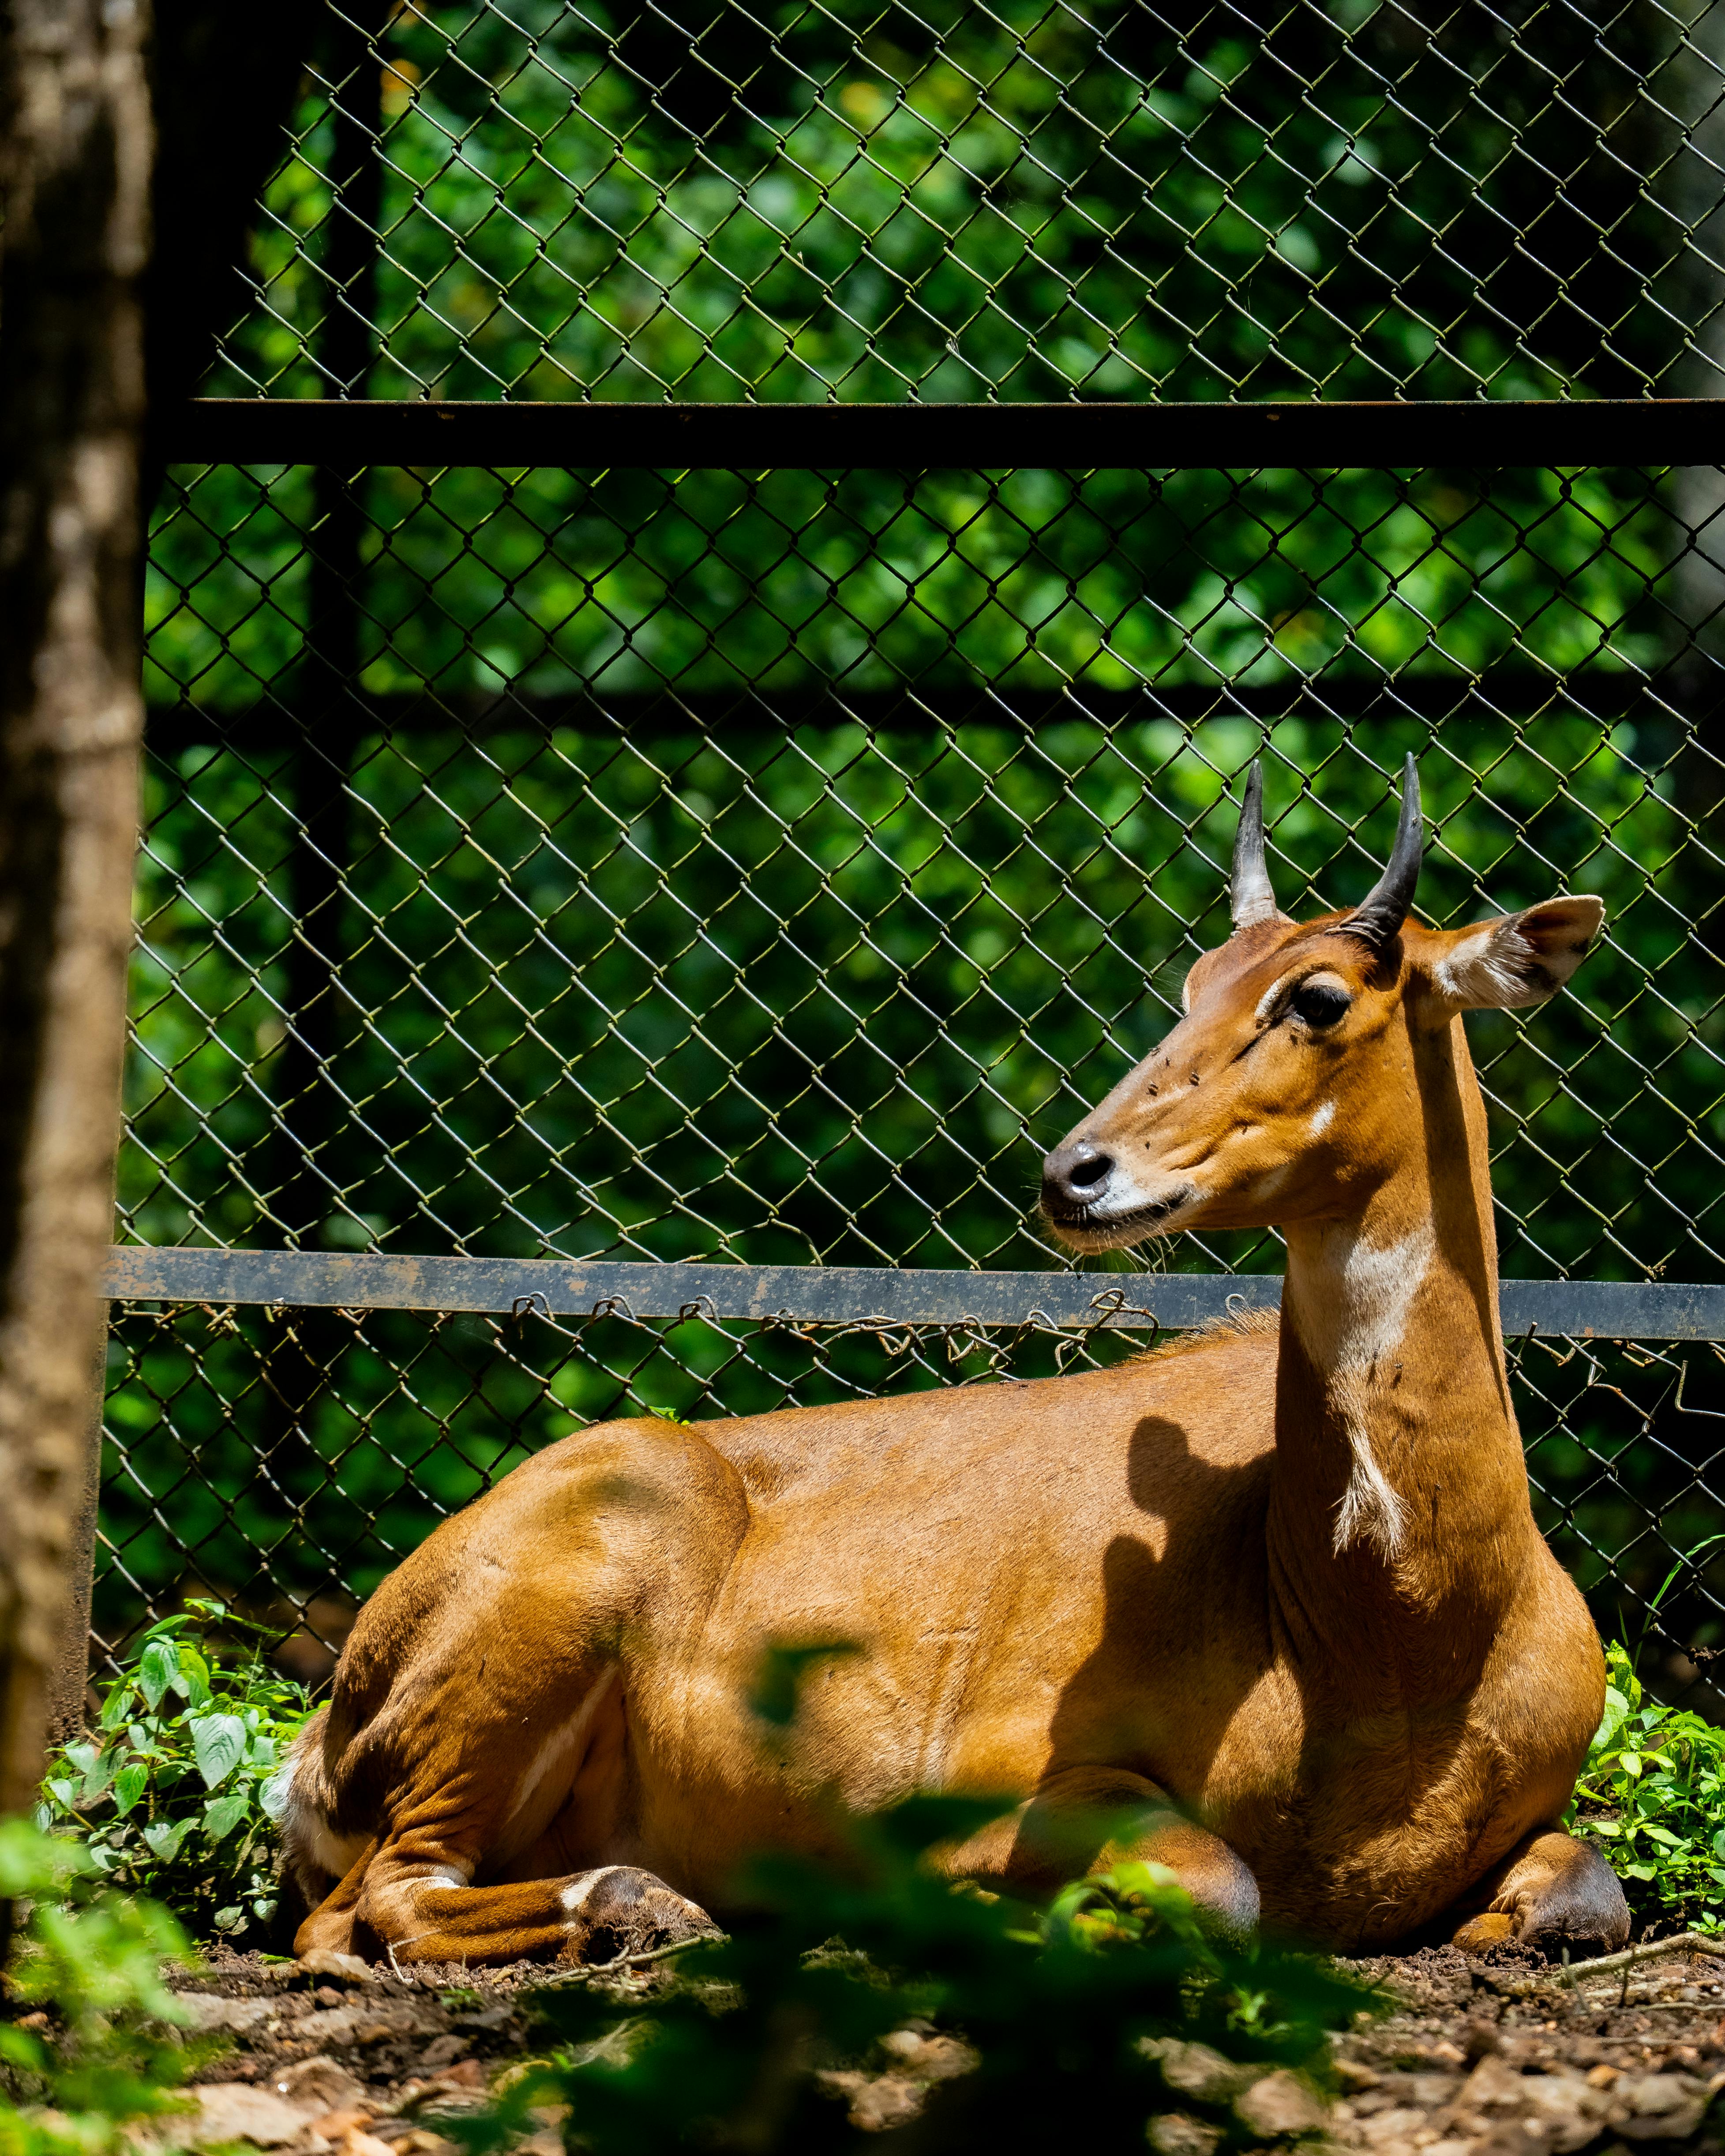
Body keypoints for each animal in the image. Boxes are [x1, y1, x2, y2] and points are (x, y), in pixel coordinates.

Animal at [283, 756, 1628, 1965]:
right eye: (1195, 981)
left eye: (1314, 996)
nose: (1073, 1171)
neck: (1394, 1631)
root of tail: (324, 1731)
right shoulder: (1017, 1784)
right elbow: (1221, 1884)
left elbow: (1588, 1894)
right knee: (366, 1908)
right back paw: (648, 1905)